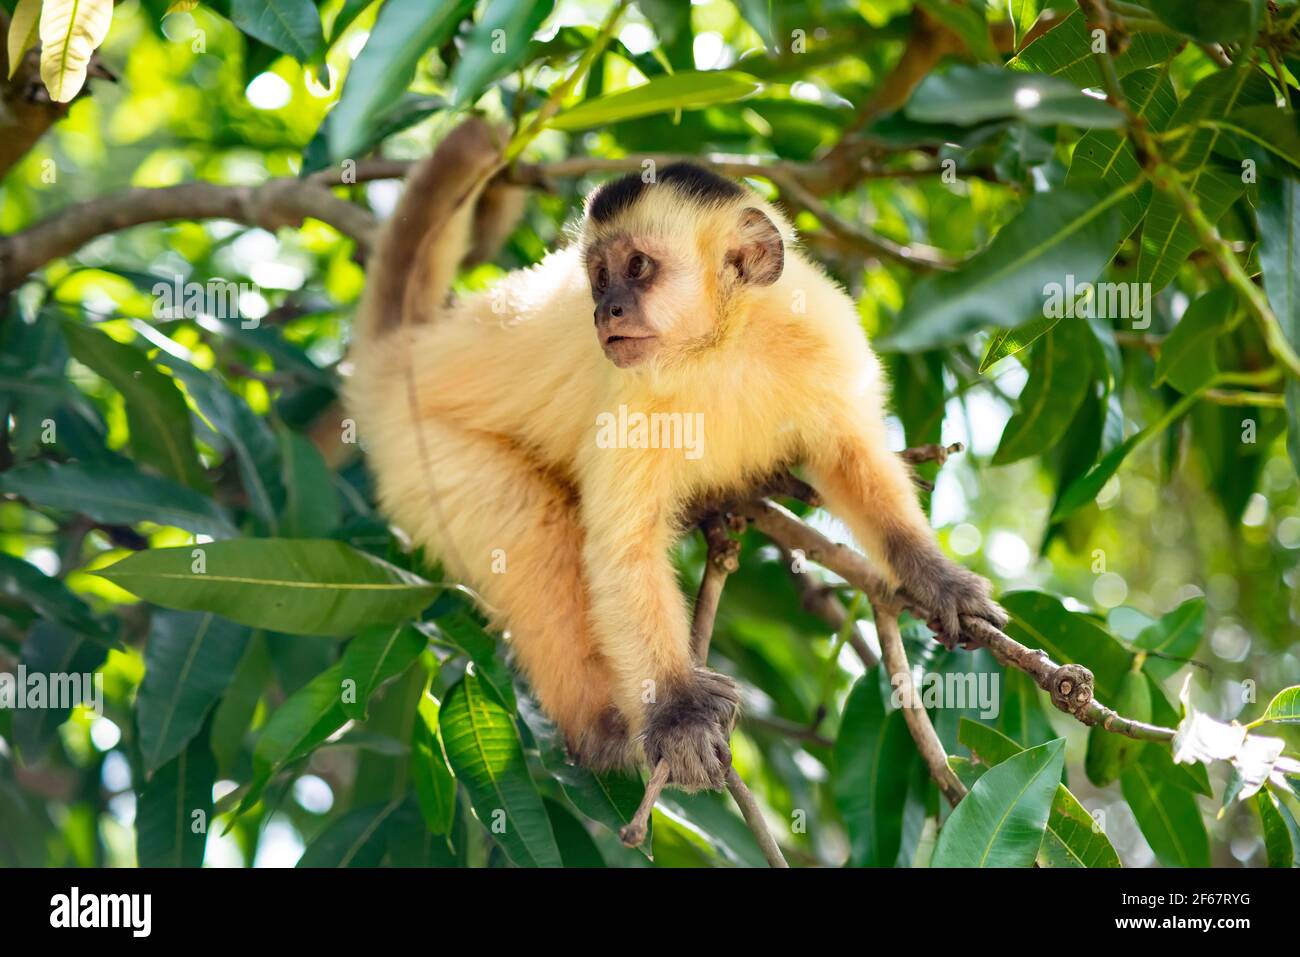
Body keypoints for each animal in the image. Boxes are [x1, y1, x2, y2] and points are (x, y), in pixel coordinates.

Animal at [345, 118, 1007, 792]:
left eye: (636, 267)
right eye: (598, 276)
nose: (603, 310)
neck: (720, 345)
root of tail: (401, 360)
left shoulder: (823, 331)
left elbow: (849, 456)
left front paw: (934, 577)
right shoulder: (634, 394)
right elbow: (622, 548)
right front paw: (678, 715)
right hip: (421, 451)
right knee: (535, 527)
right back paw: (601, 731)